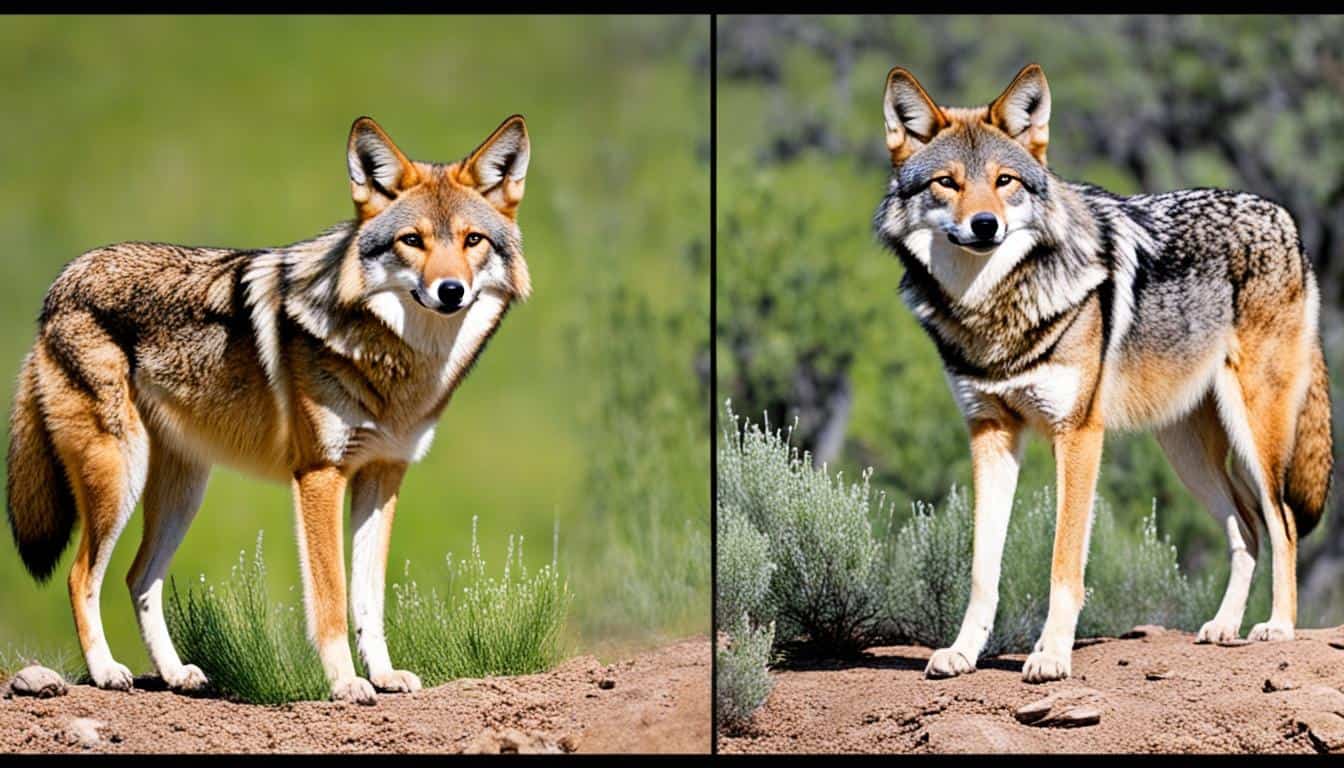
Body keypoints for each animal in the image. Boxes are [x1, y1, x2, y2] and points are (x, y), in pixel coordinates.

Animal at [6, 114, 532, 703]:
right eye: (412, 241)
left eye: (472, 240)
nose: (450, 291)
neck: (396, 363)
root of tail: (59, 285)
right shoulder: (320, 475)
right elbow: (331, 597)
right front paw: (346, 683)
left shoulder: (384, 475)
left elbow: (369, 600)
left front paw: (384, 675)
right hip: (120, 476)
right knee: (82, 576)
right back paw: (105, 671)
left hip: (183, 491)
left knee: (137, 577)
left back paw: (176, 674)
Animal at [873, 63, 1332, 683]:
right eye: (947, 183)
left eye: (1004, 181)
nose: (985, 225)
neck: (992, 310)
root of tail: (1284, 217)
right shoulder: (990, 433)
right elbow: (982, 569)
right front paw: (963, 652)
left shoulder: (1079, 435)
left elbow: (1063, 564)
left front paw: (1051, 655)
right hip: (1187, 453)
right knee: (1248, 528)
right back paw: (1222, 627)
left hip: (1255, 437)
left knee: (1281, 523)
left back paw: (1277, 627)